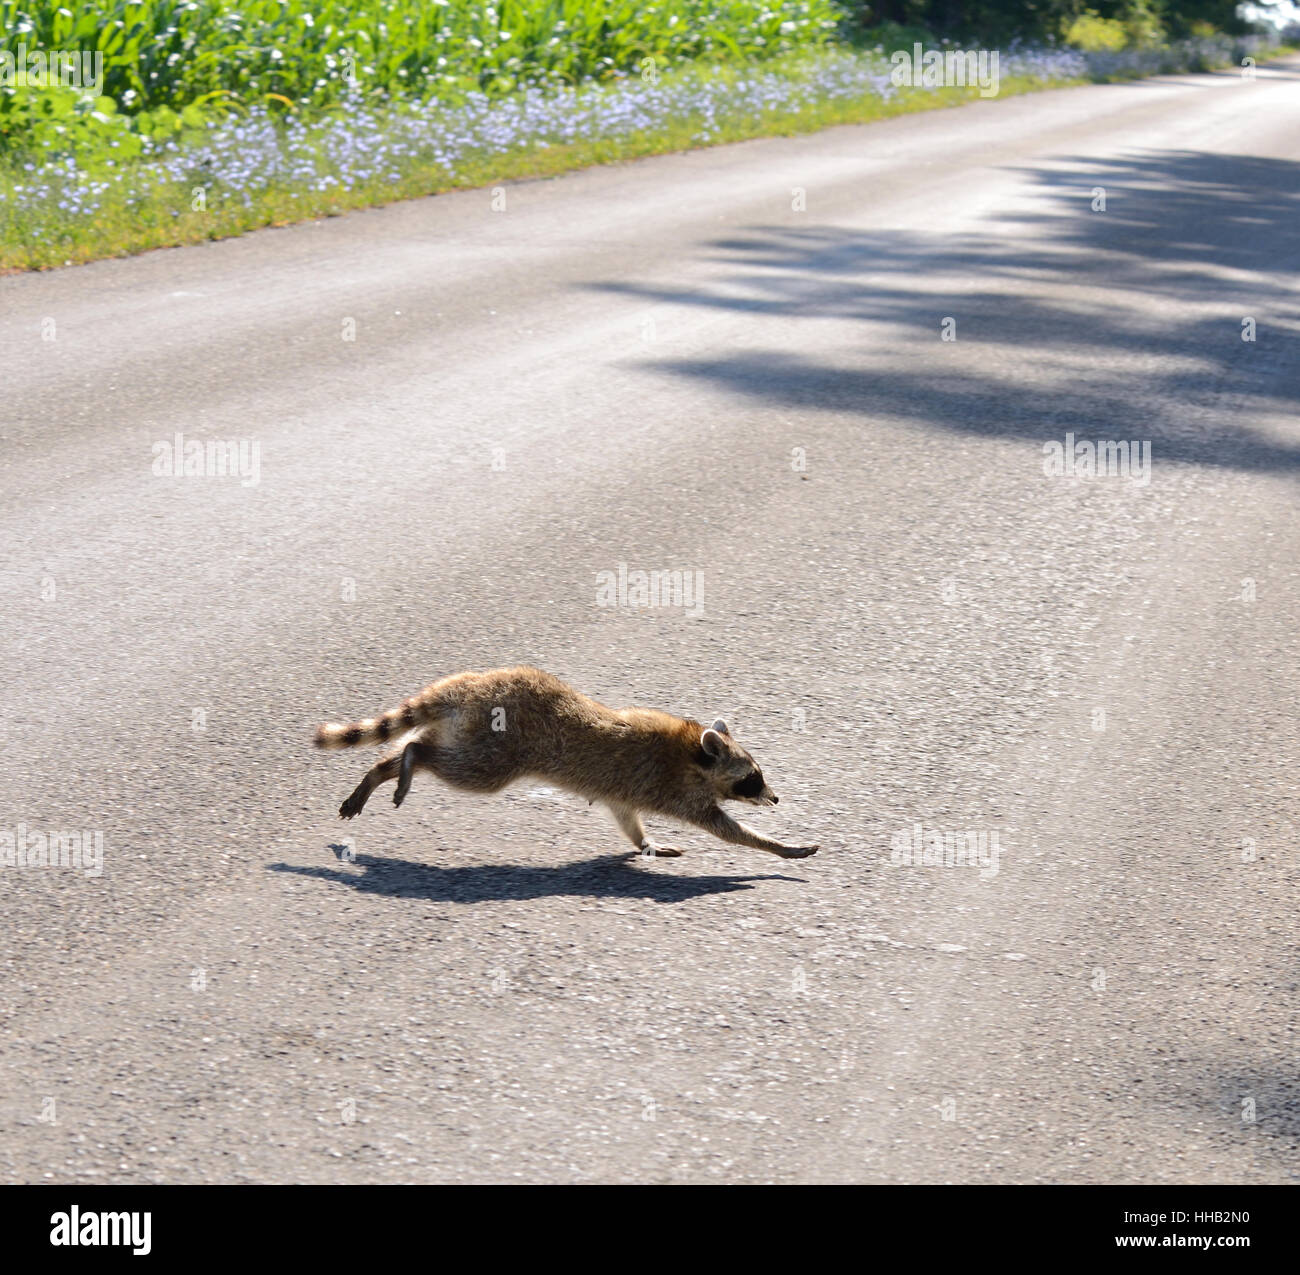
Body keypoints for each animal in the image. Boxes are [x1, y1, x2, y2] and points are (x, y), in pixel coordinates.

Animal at [314, 666, 818, 859]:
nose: (775, 798)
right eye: (752, 779)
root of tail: (472, 684)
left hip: (472, 732)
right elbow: (725, 828)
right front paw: (778, 845)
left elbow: (626, 818)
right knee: (447, 761)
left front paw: (646, 844)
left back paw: (386, 768)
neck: (693, 749)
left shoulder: (624, 791)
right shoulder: (675, 788)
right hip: (498, 749)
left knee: (423, 745)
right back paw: (407, 762)